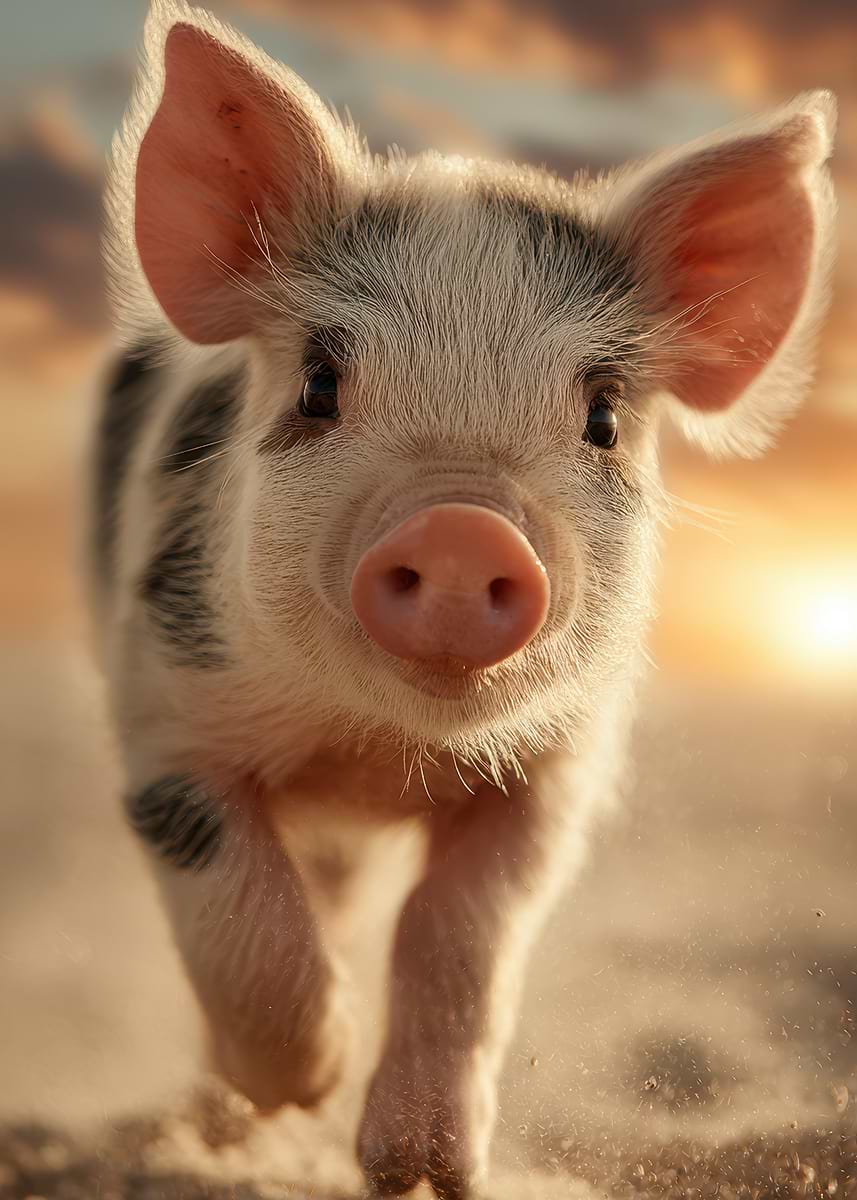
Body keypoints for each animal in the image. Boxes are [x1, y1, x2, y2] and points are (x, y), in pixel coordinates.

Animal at [92, 1, 836, 1195]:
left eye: (601, 415)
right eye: (318, 383)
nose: (460, 528)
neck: (374, 752)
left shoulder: (557, 772)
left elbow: (460, 931)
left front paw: (418, 1170)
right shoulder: (166, 701)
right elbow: (239, 910)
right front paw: (308, 1081)